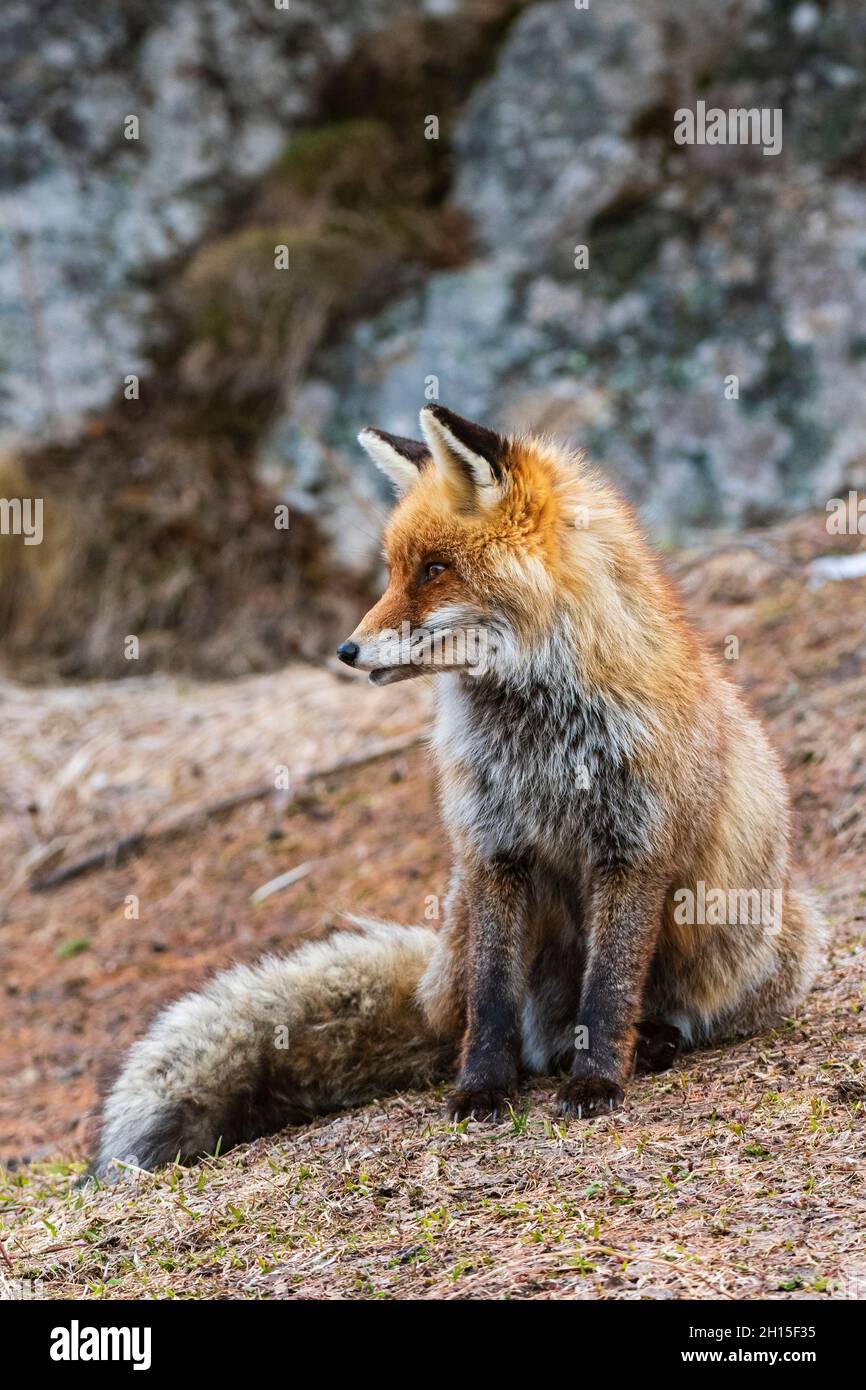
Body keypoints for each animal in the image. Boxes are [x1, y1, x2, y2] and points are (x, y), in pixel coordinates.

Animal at [91, 405, 826, 1176]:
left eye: (435, 570)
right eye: (392, 571)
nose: (346, 651)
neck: (539, 734)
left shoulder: (632, 850)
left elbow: (608, 991)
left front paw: (596, 1083)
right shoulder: (491, 851)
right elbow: (493, 1000)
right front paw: (482, 1092)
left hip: (753, 942)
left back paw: (648, 1042)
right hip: (468, 922)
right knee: (494, 1019)